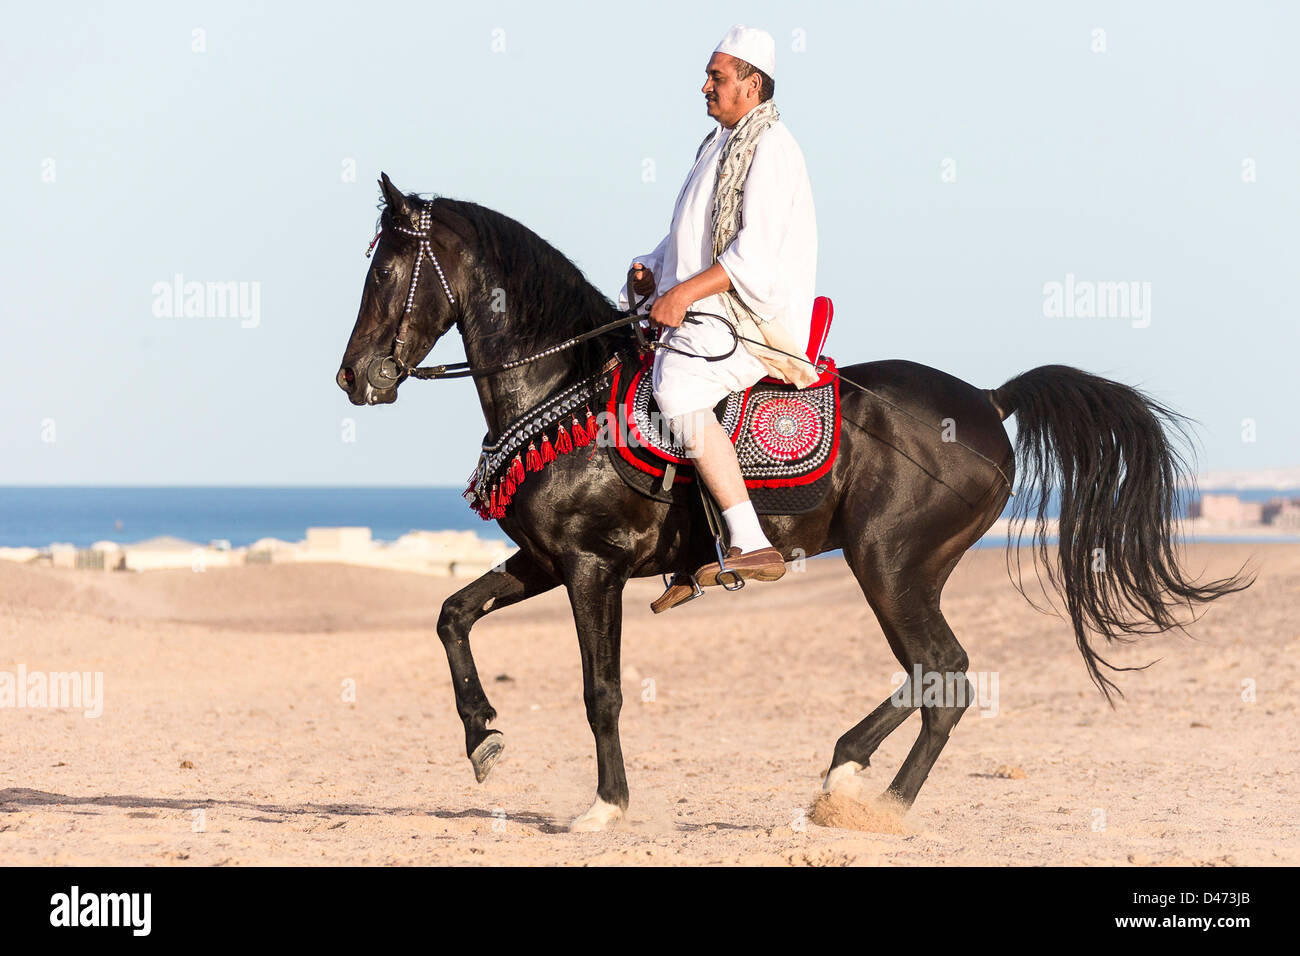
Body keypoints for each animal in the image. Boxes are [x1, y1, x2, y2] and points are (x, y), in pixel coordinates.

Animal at [336, 173, 1252, 831]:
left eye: (386, 271)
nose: (354, 377)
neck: (568, 390)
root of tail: (990, 403)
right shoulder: (544, 558)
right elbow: (452, 615)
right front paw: (484, 740)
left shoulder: (592, 568)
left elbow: (602, 690)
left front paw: (605, 806)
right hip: (909, 570)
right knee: (933, 677)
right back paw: (853, 774)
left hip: (889, 563)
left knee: (945, 674)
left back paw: (875, 802)